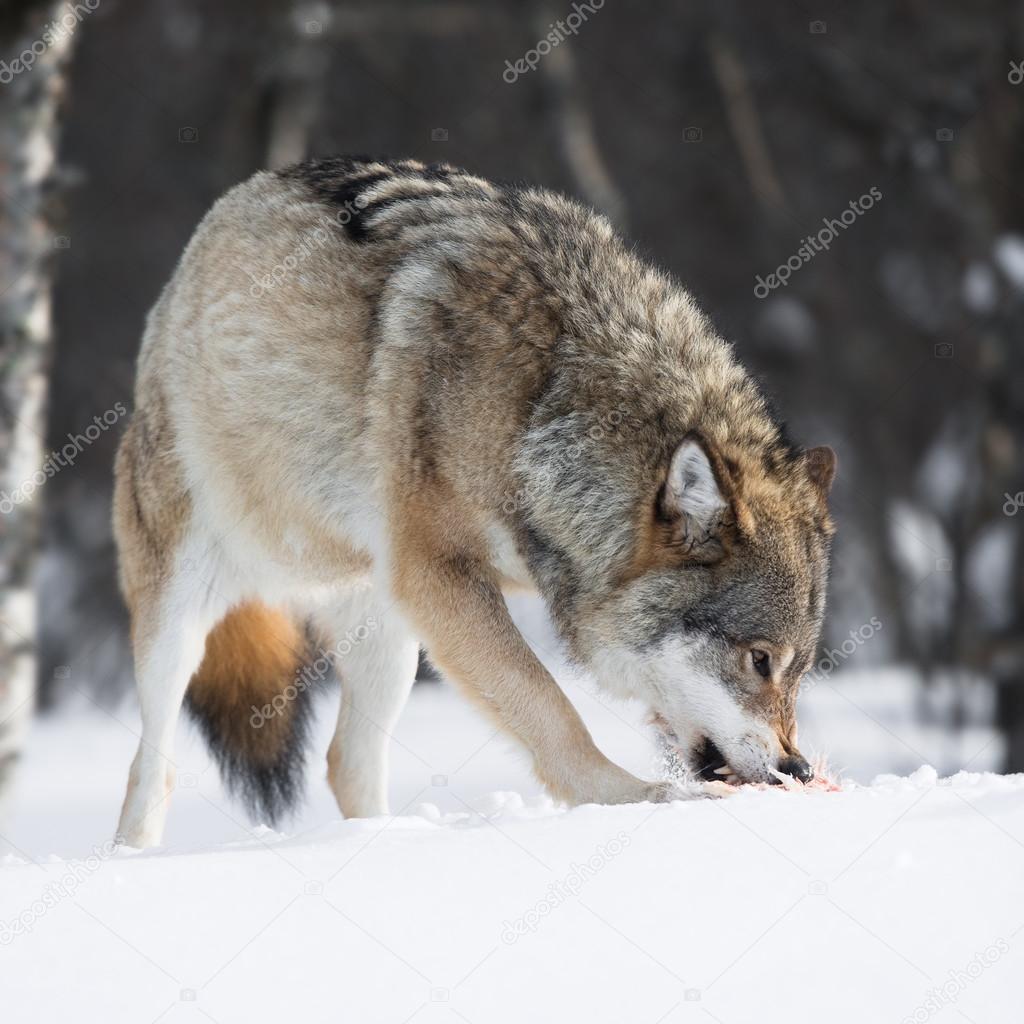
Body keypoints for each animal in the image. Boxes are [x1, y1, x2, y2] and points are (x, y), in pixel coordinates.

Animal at [114, 156, 836, 849]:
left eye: (799, 669)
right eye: (760, 661)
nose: (797, 770)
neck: (544, 407)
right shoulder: (440, 575)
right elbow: (549, 707)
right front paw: (642, 800)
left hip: (389, 635)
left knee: (346, 762)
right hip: (187, 609)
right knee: (154, 768)